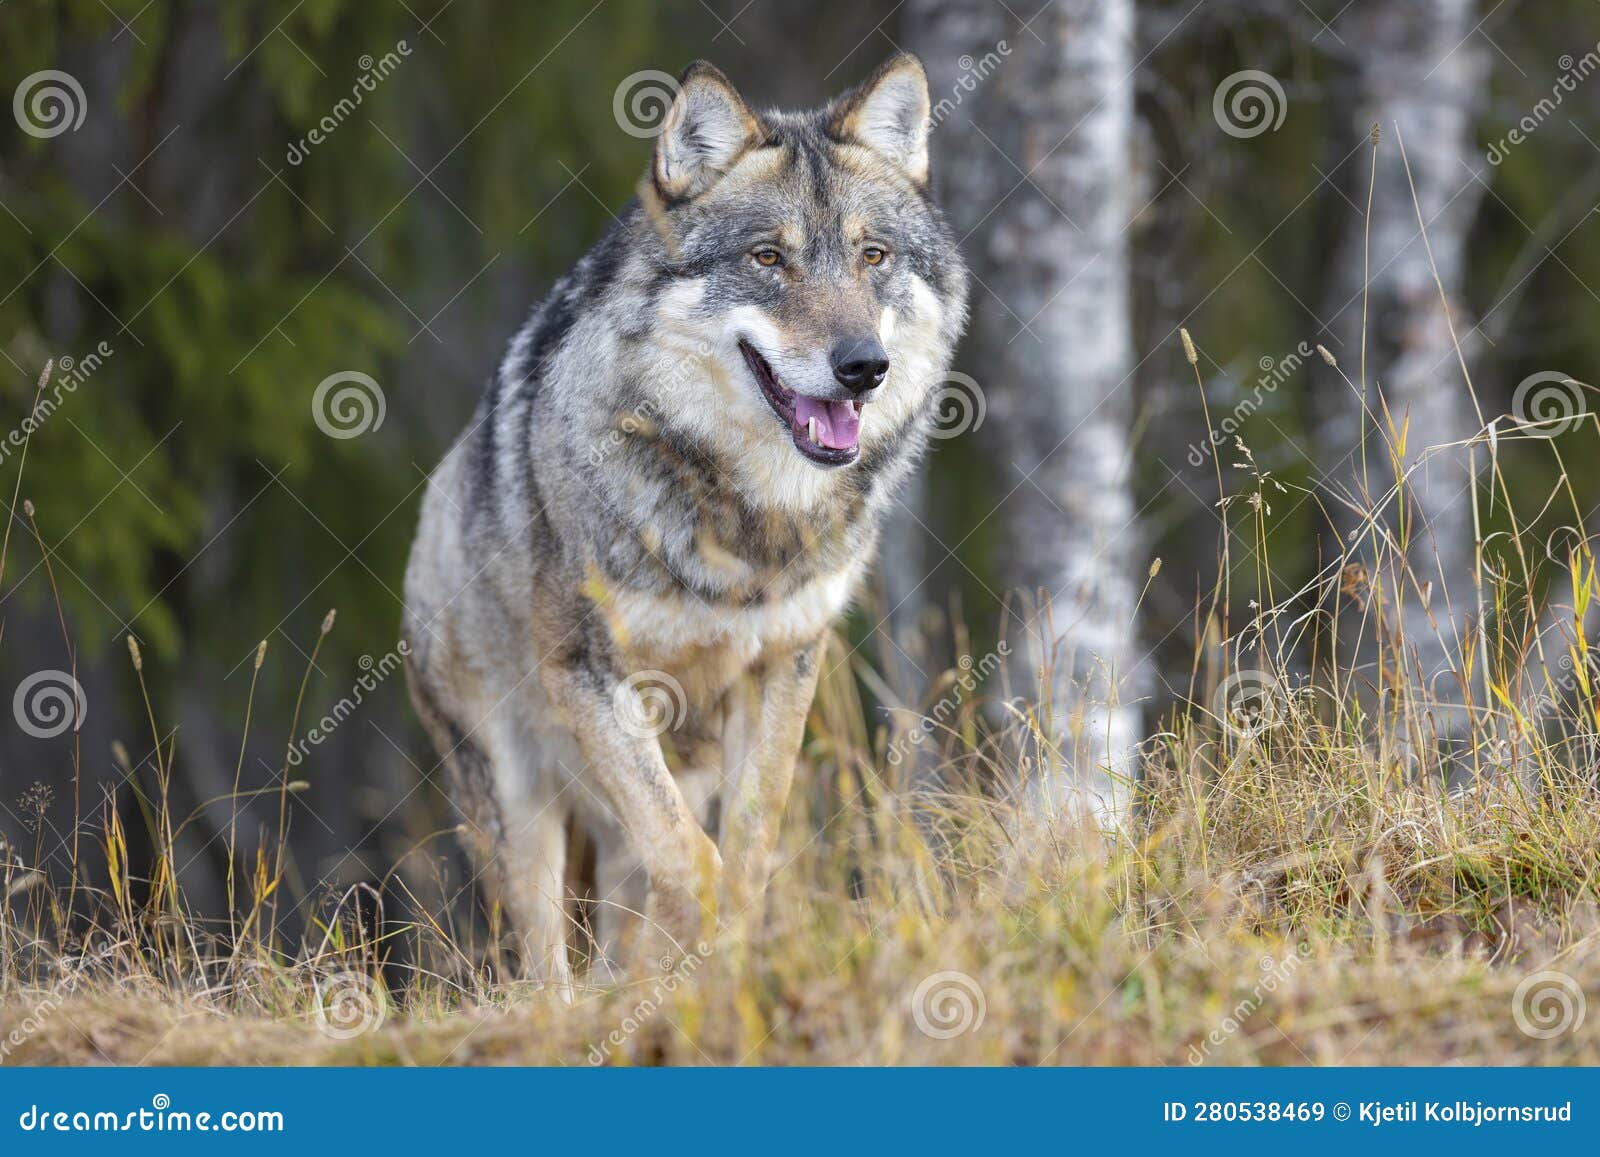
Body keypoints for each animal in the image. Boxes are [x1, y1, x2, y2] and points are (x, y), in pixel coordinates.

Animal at [403, 53, 968, 986]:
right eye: (769, 257)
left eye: (873, 256)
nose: (864, 367)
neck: (744, 524)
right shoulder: (590, 675)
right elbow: (691, 856)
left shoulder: (784, 666)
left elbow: (745, 850)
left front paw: (731, 964)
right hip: (519, 798)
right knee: (545, 959)